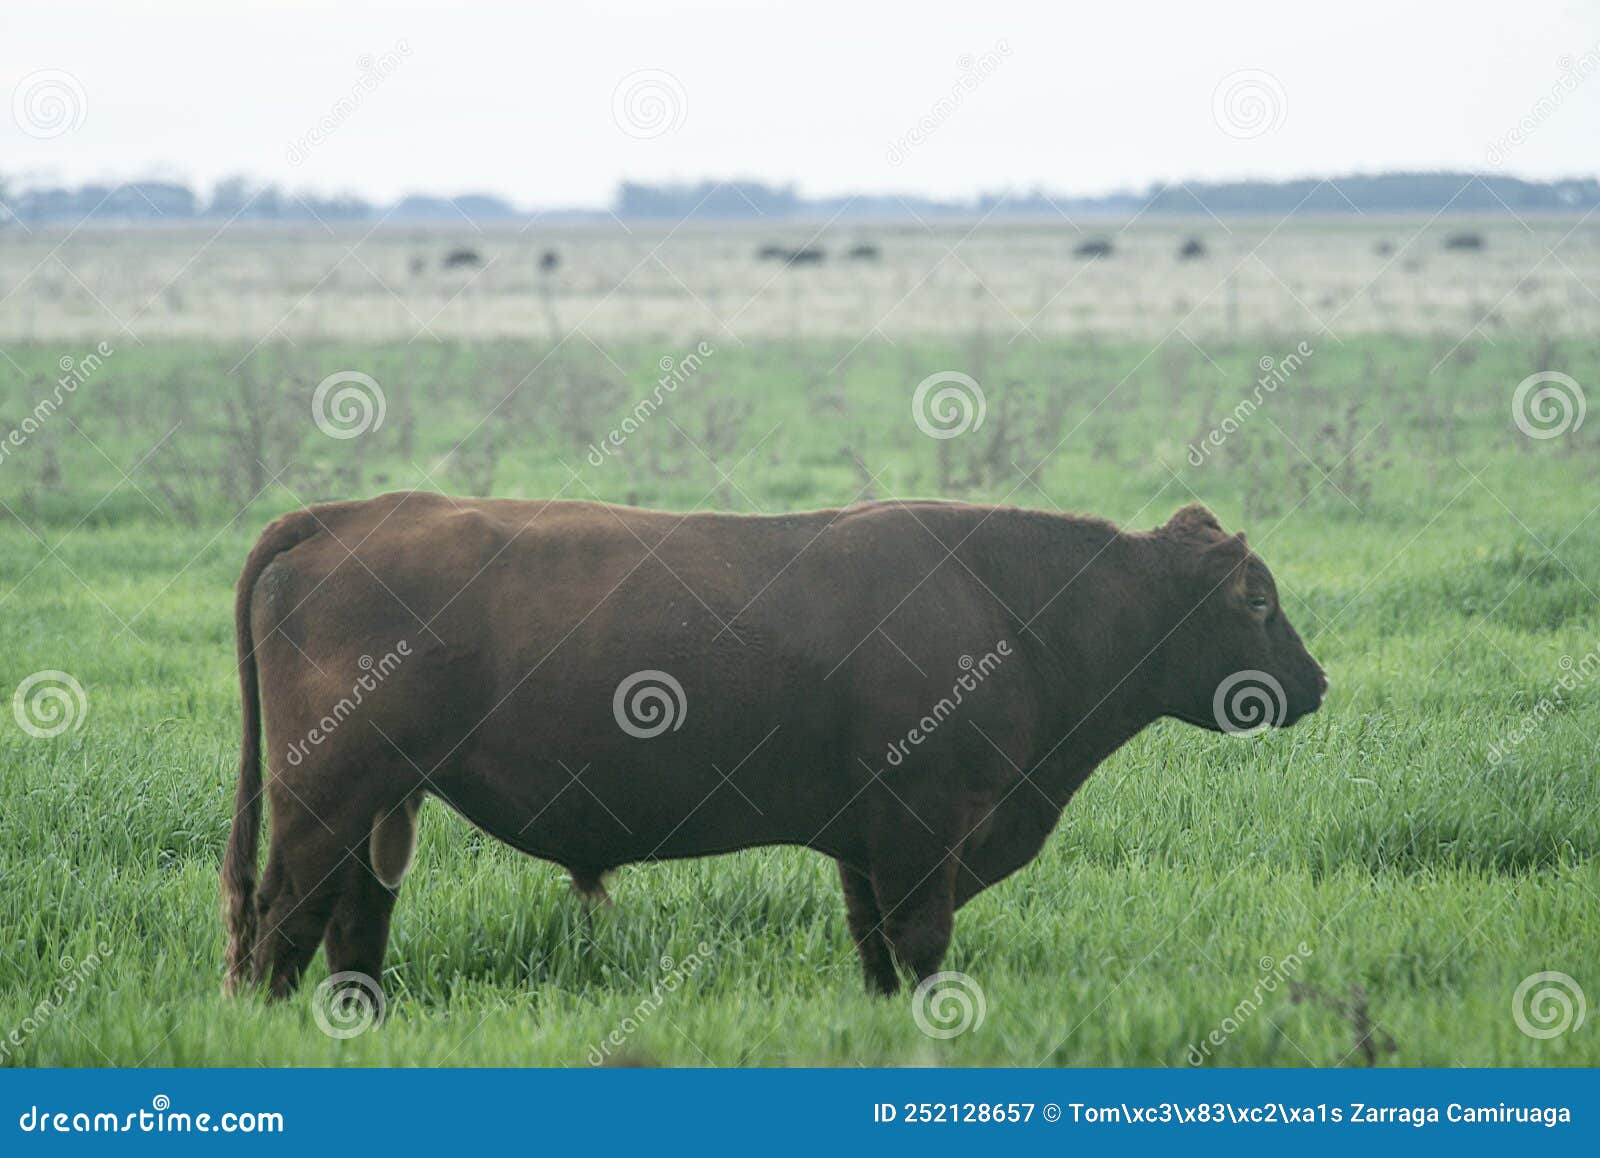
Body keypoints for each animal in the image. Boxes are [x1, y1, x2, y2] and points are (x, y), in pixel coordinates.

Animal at [221, 495, 1324, 1001]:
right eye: (1256, 602)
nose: (1314, 685)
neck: (1013, 609)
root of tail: (357, 513)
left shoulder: (867, 846)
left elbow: (877, 952)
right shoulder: (923, 829)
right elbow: (919, 945)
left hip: (378, 805)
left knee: (351, 927)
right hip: (323, 798)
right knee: (279, 923)